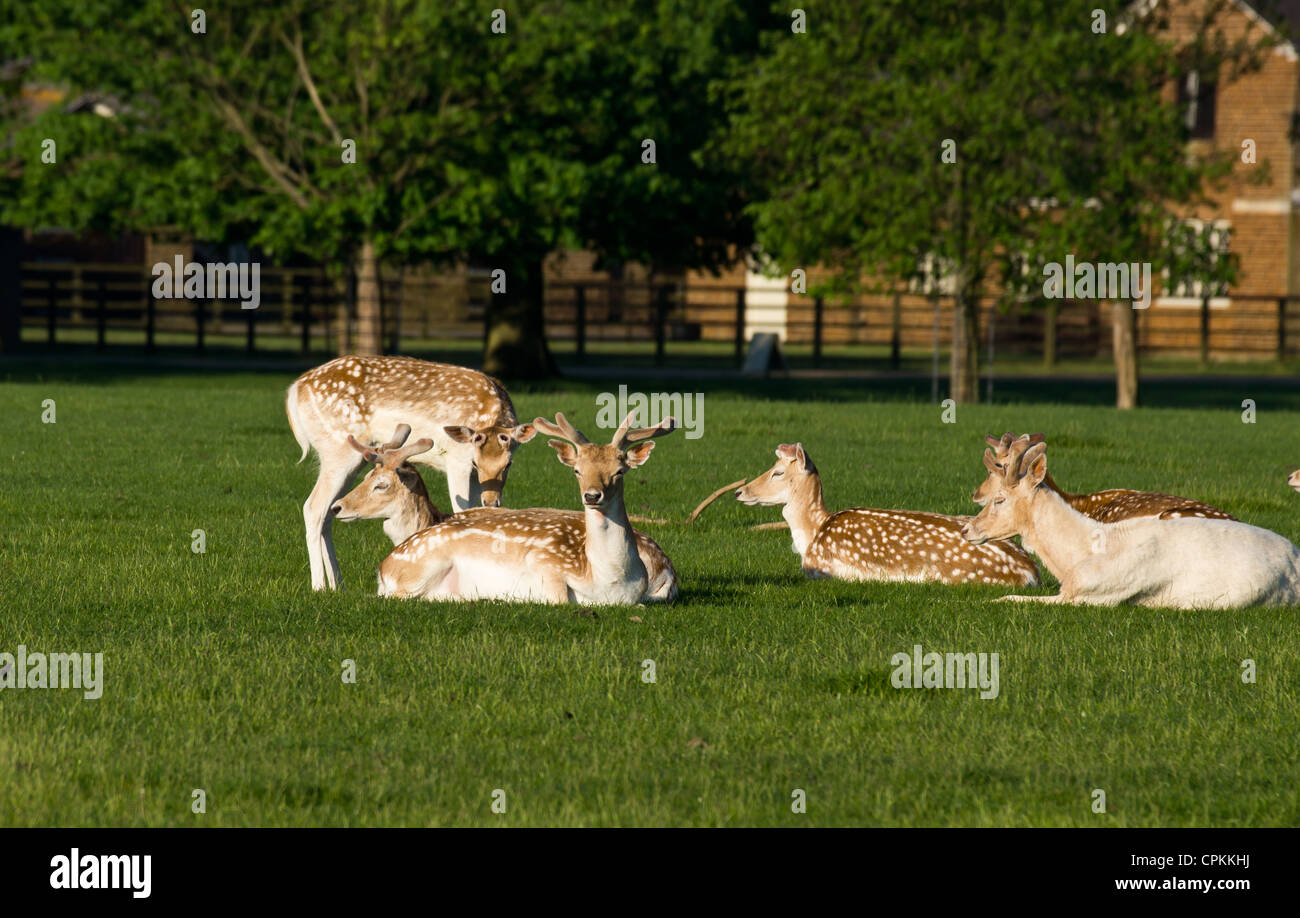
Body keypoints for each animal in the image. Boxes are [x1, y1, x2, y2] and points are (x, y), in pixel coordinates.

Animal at [286, 356, 537, 591]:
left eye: (509, 463)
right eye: (475, 462)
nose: (493, 501)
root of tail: (295, 390)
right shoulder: (457, 460)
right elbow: (461, 509)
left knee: (329, 511)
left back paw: (338, 586)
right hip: (337, 449)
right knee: (313, 507)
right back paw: (319, 586)